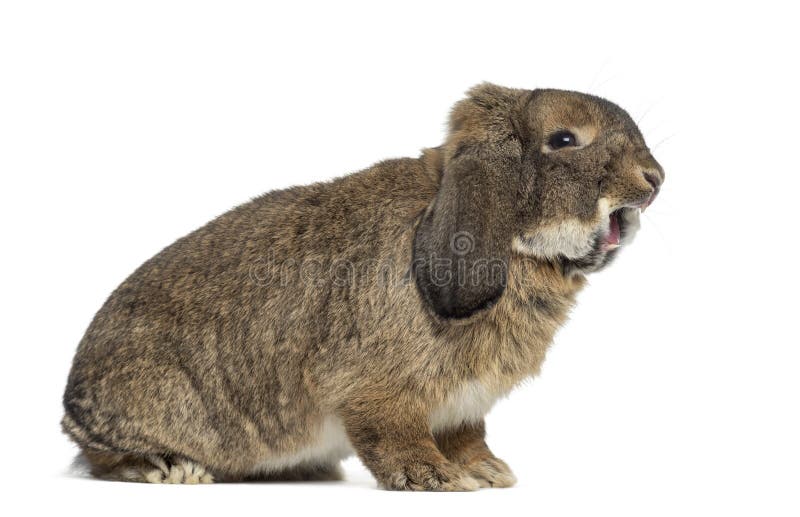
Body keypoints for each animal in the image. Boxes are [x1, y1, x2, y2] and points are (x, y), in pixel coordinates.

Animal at [62, 82, 664, 490]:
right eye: (564, 139)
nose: (656, 178)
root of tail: (71, 399)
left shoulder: (462, 405)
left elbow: (467, 436)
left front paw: (489, 472)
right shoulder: (375, 389)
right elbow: (391, 433)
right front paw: (433, 478)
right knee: (102, 458)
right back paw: (168, 468)